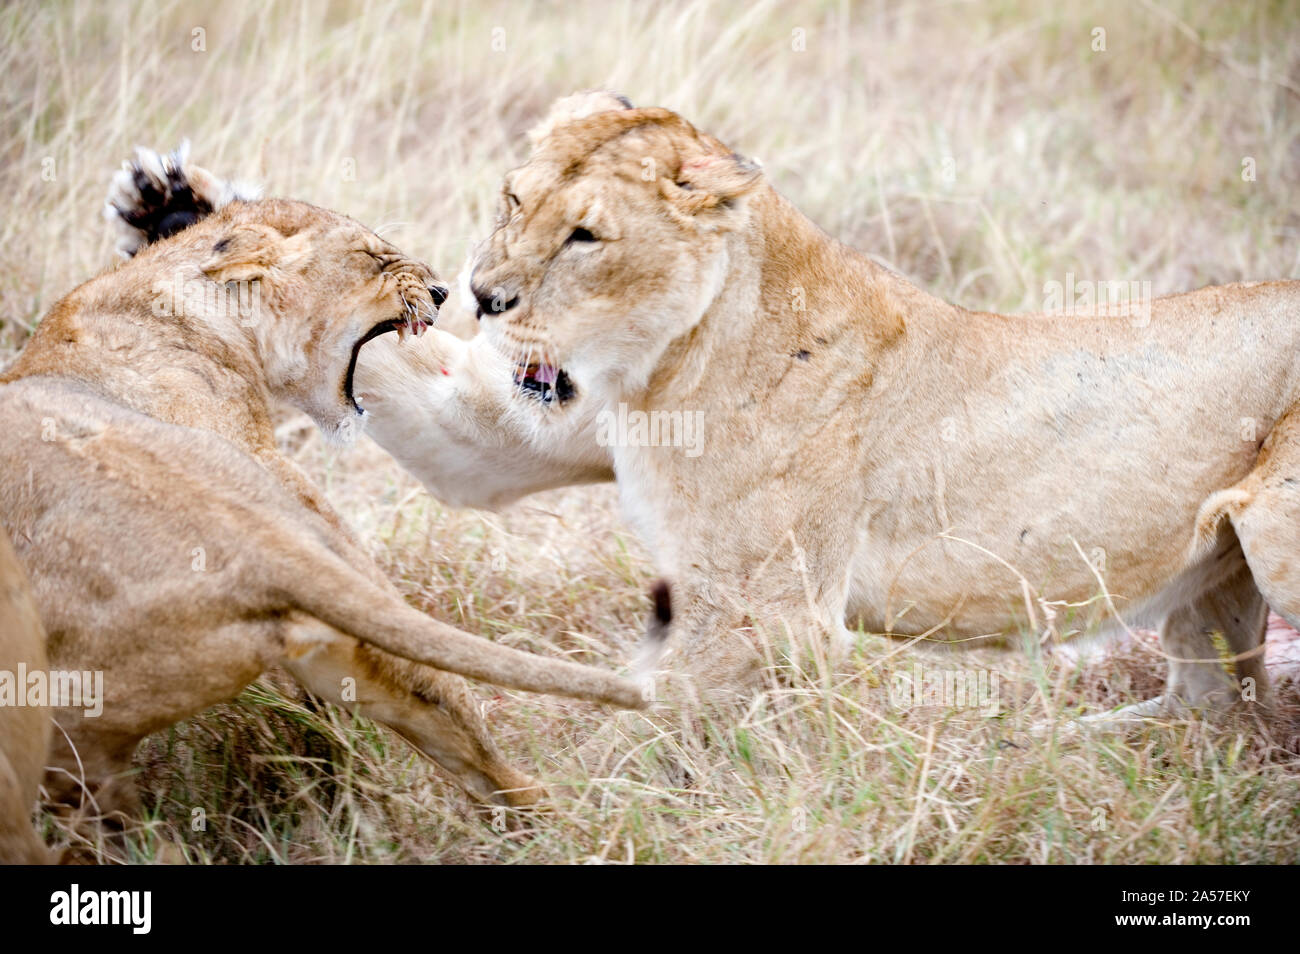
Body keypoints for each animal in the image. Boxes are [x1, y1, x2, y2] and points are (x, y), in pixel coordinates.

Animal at [115, 98, 1300, 724]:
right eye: (514, 199)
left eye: (586, 235)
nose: (483, 297)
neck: (661, 374)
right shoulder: (513, 434)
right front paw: (171, 210)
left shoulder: (764, 615)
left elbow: (645, 724)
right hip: (1215, 590)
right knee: (1213, 715)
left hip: (1276, 535)